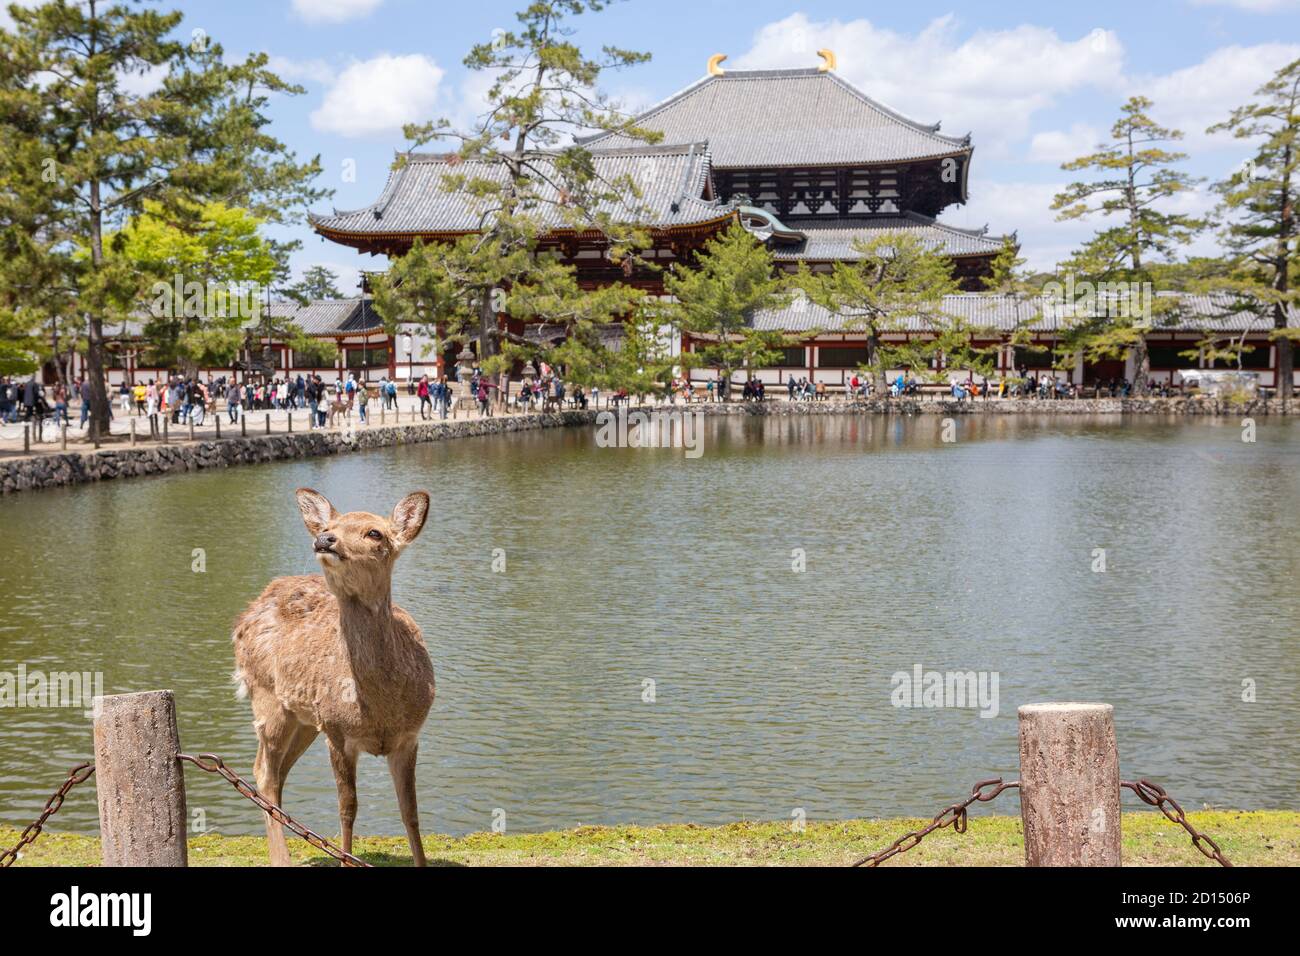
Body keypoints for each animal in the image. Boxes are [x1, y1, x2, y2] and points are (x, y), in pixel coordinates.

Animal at [231, 487, 435, 866]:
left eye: (375, 533)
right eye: (329, 526)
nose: (325, 539)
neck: (380, 710)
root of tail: (246, 613)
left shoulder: (409, 735)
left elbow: (410, 812)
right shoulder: (339, 735)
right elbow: (347, 808)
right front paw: (345, 859)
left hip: (306, 720)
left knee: (277, 770)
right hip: (267, 697)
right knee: (264, 772)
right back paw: (281, 858)